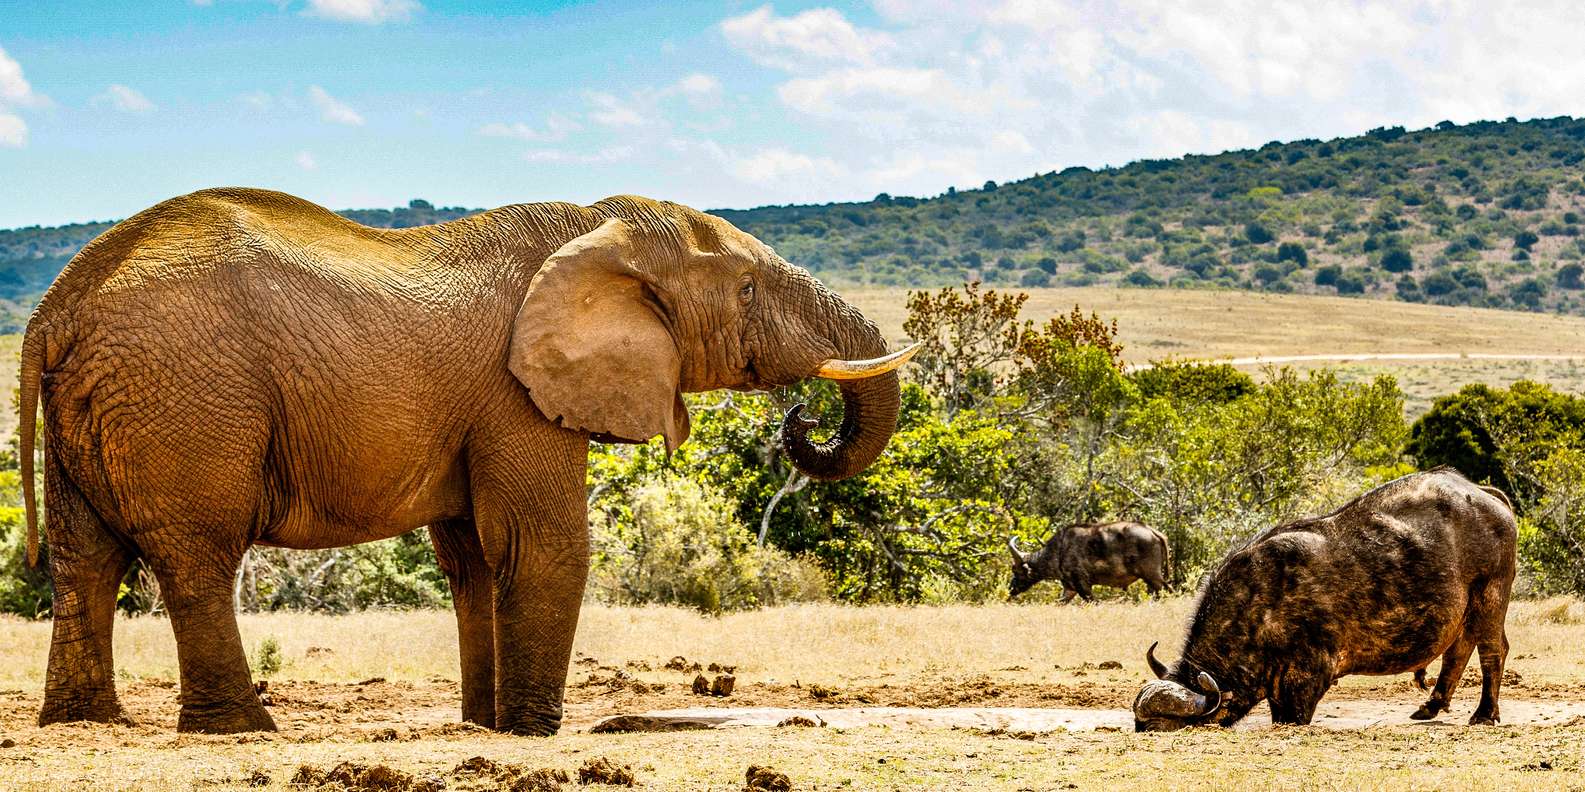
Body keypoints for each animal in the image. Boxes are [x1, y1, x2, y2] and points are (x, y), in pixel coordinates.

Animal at [18, 187, 915, 735]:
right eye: (749, 291)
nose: (804, 418)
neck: (597, 226)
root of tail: (58, 303)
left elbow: (474, 558)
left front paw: (485, 726)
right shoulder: (516, 394)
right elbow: (542, 544)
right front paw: (533, 732)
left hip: (100, 406)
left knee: (83, 559)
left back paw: (85, 721)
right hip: (187, 399)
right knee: (198, 556)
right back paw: (243, 729)